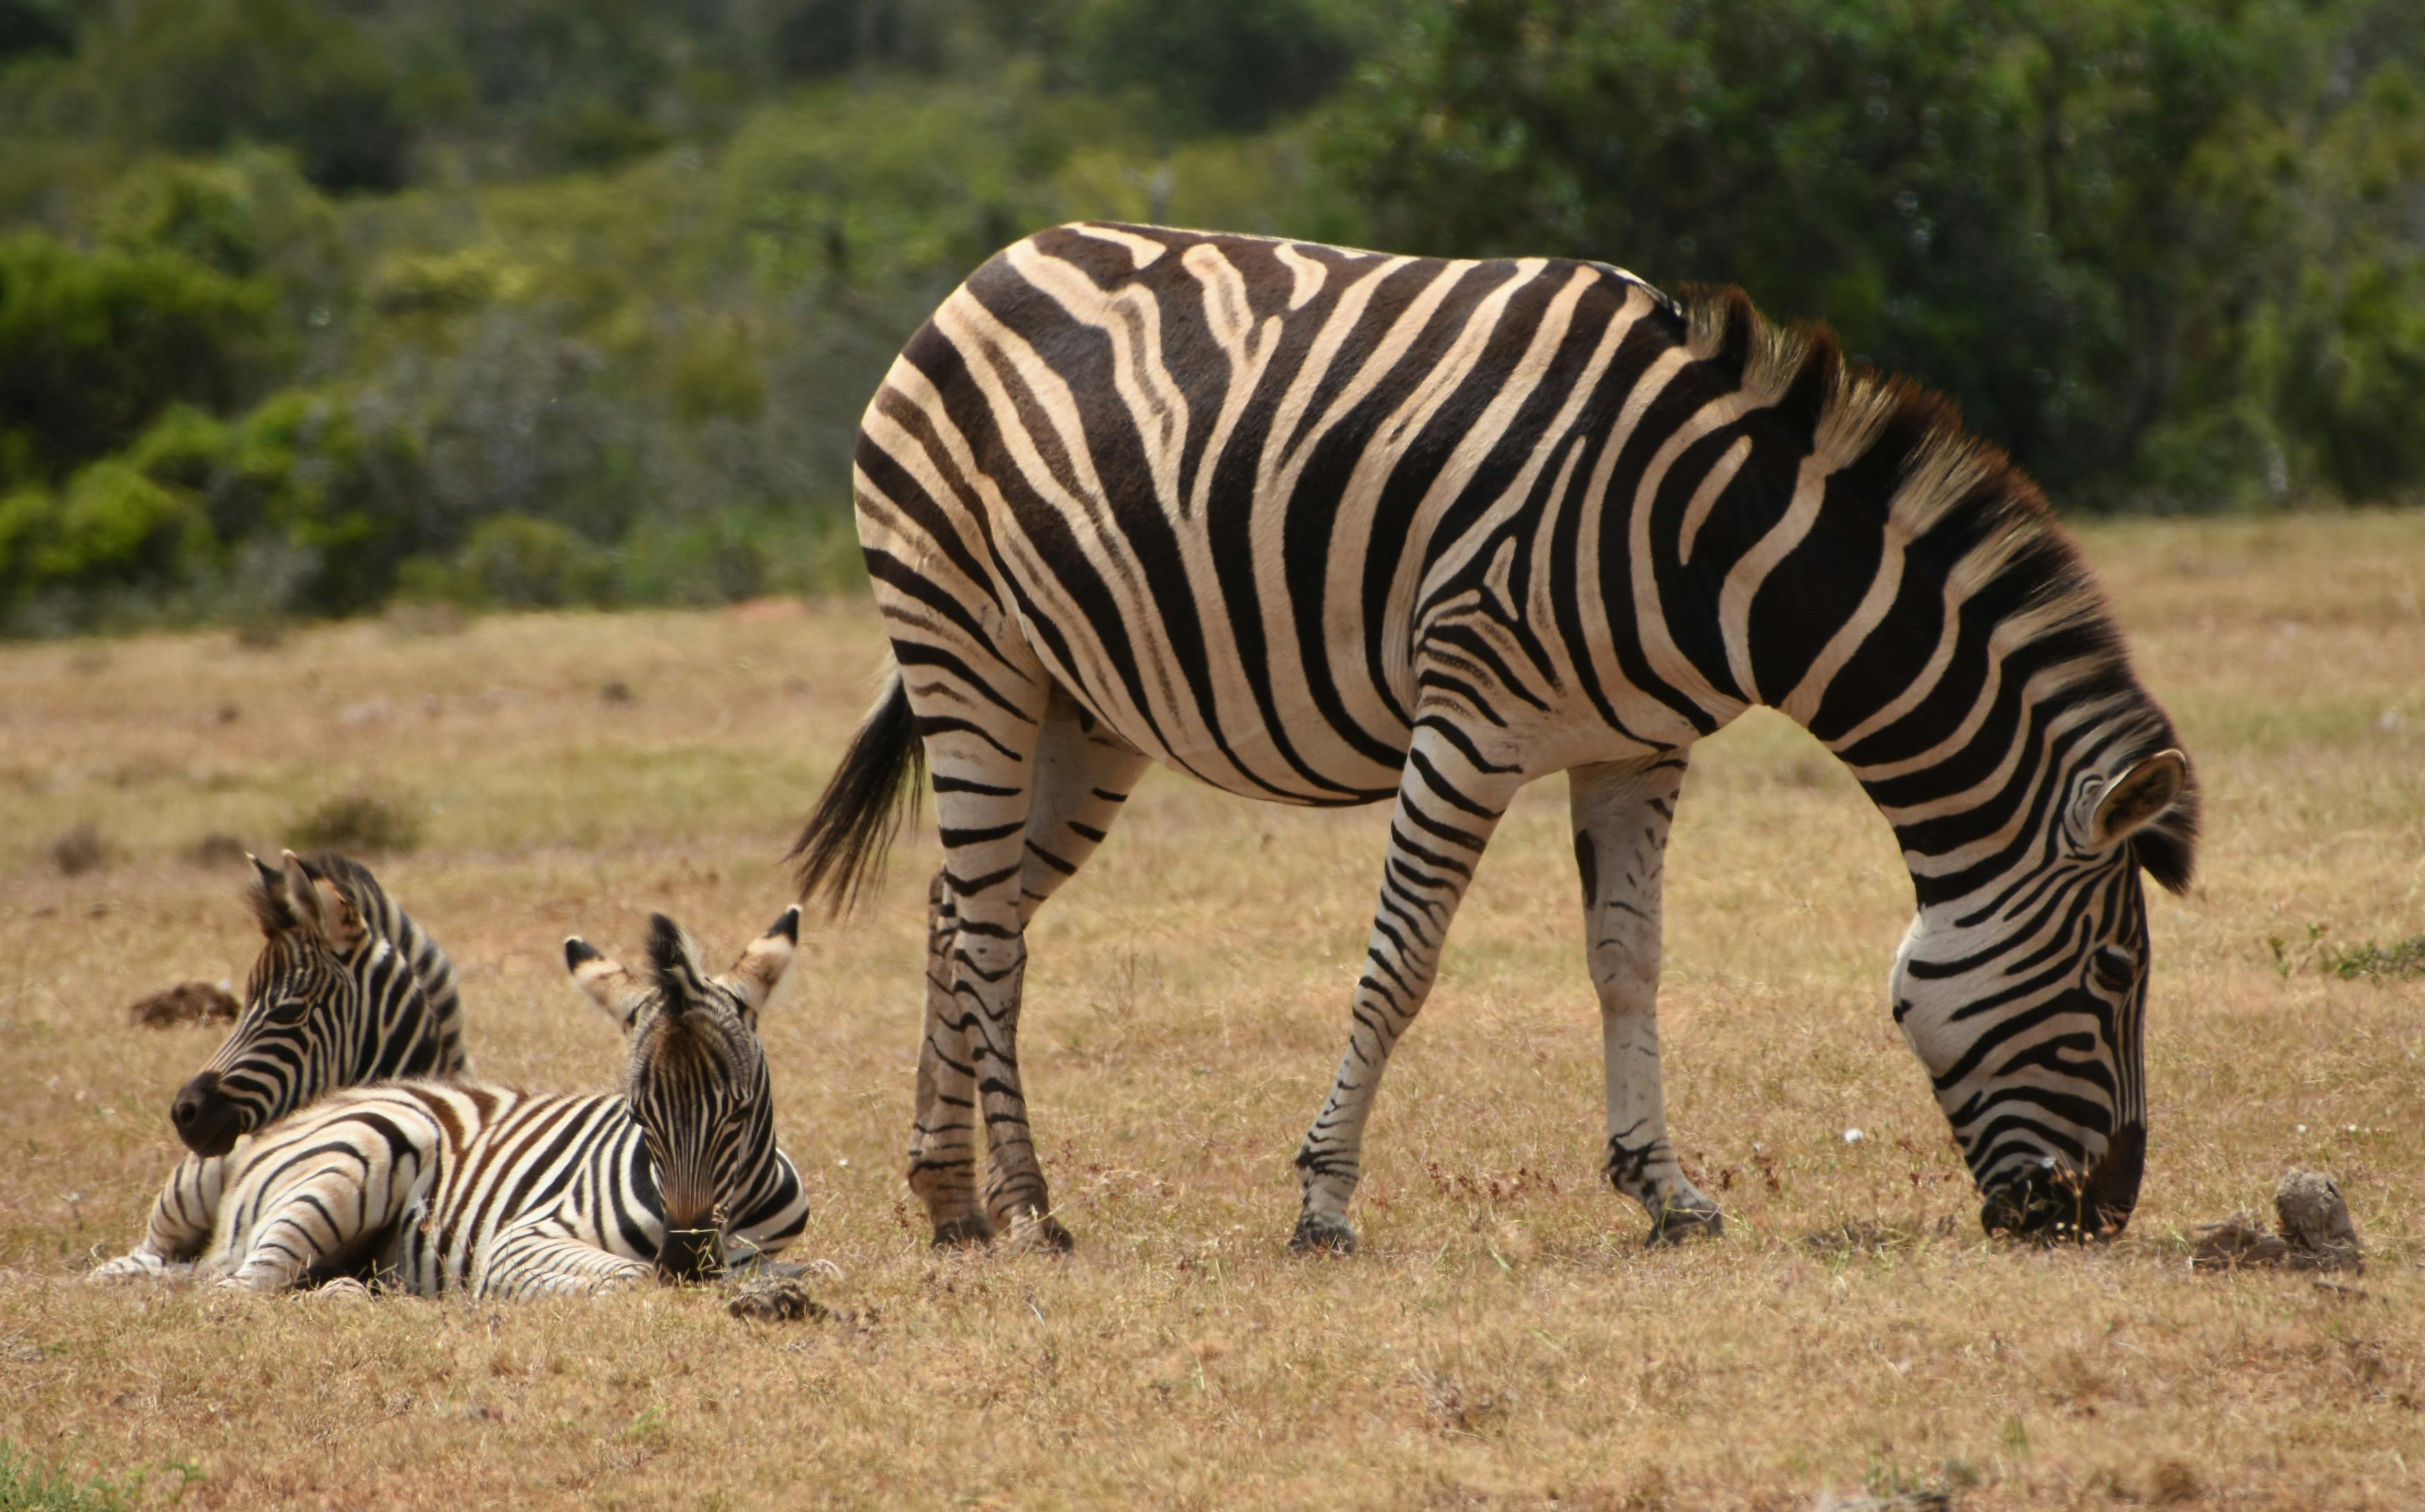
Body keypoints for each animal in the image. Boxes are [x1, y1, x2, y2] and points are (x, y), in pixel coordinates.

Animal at [190, 907, 808, 1297]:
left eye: (739, 1113)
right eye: (640, 1117)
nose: (685, 1263)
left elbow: (809, 1269)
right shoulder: (519, 1241)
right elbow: (630, 1276)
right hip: (369, 1149)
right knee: (234, 1292)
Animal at [790, 222, 2199, 1255]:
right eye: (2115, 972)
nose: (2099, 1216)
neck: (1709, 542)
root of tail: (990, 268)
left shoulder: (1637, 747)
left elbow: (1629, 959)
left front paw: (1664, 1190)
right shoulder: (1467, 717)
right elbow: (1402, 964)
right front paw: (1322, 1199)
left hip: (1082, 705)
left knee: (959, 906)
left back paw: (951, 1200)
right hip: (965, 646)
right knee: (983, 921)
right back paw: (1030, 1206)